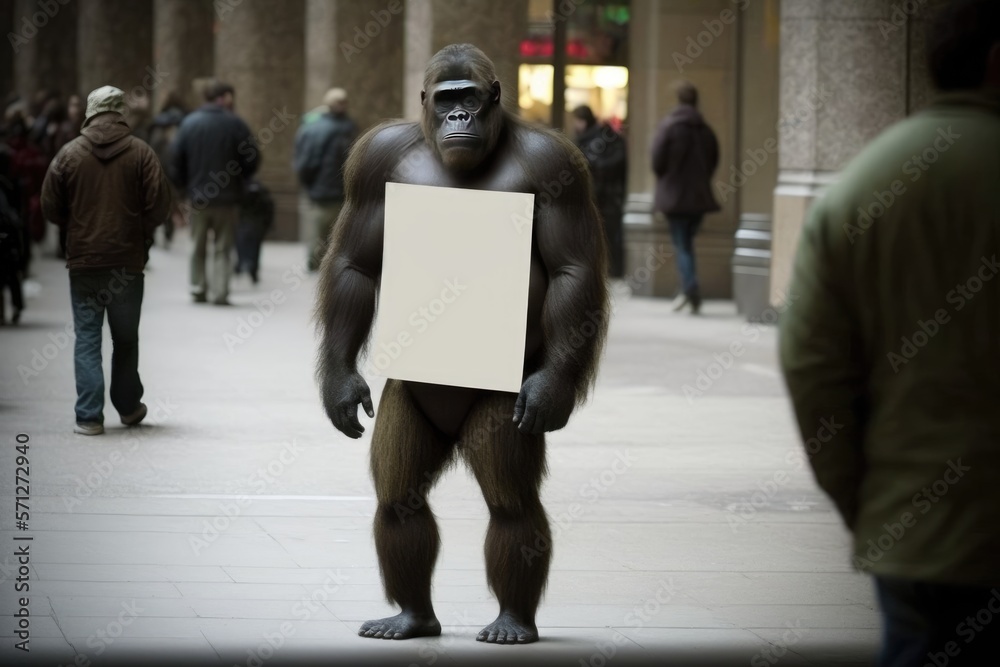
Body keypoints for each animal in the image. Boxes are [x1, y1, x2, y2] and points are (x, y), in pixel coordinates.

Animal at [314, 43, 609, 645]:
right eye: (447, 98)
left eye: (471, 97)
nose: (457, 117)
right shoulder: (372, 160)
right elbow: (355, 261)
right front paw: (340, 387)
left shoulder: (559, 165)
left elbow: (571, 269)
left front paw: (552, 390)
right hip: (411, 402)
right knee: (400, 500)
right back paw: (413, 616)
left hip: (503, 410)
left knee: (511, 507)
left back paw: (513, 620)